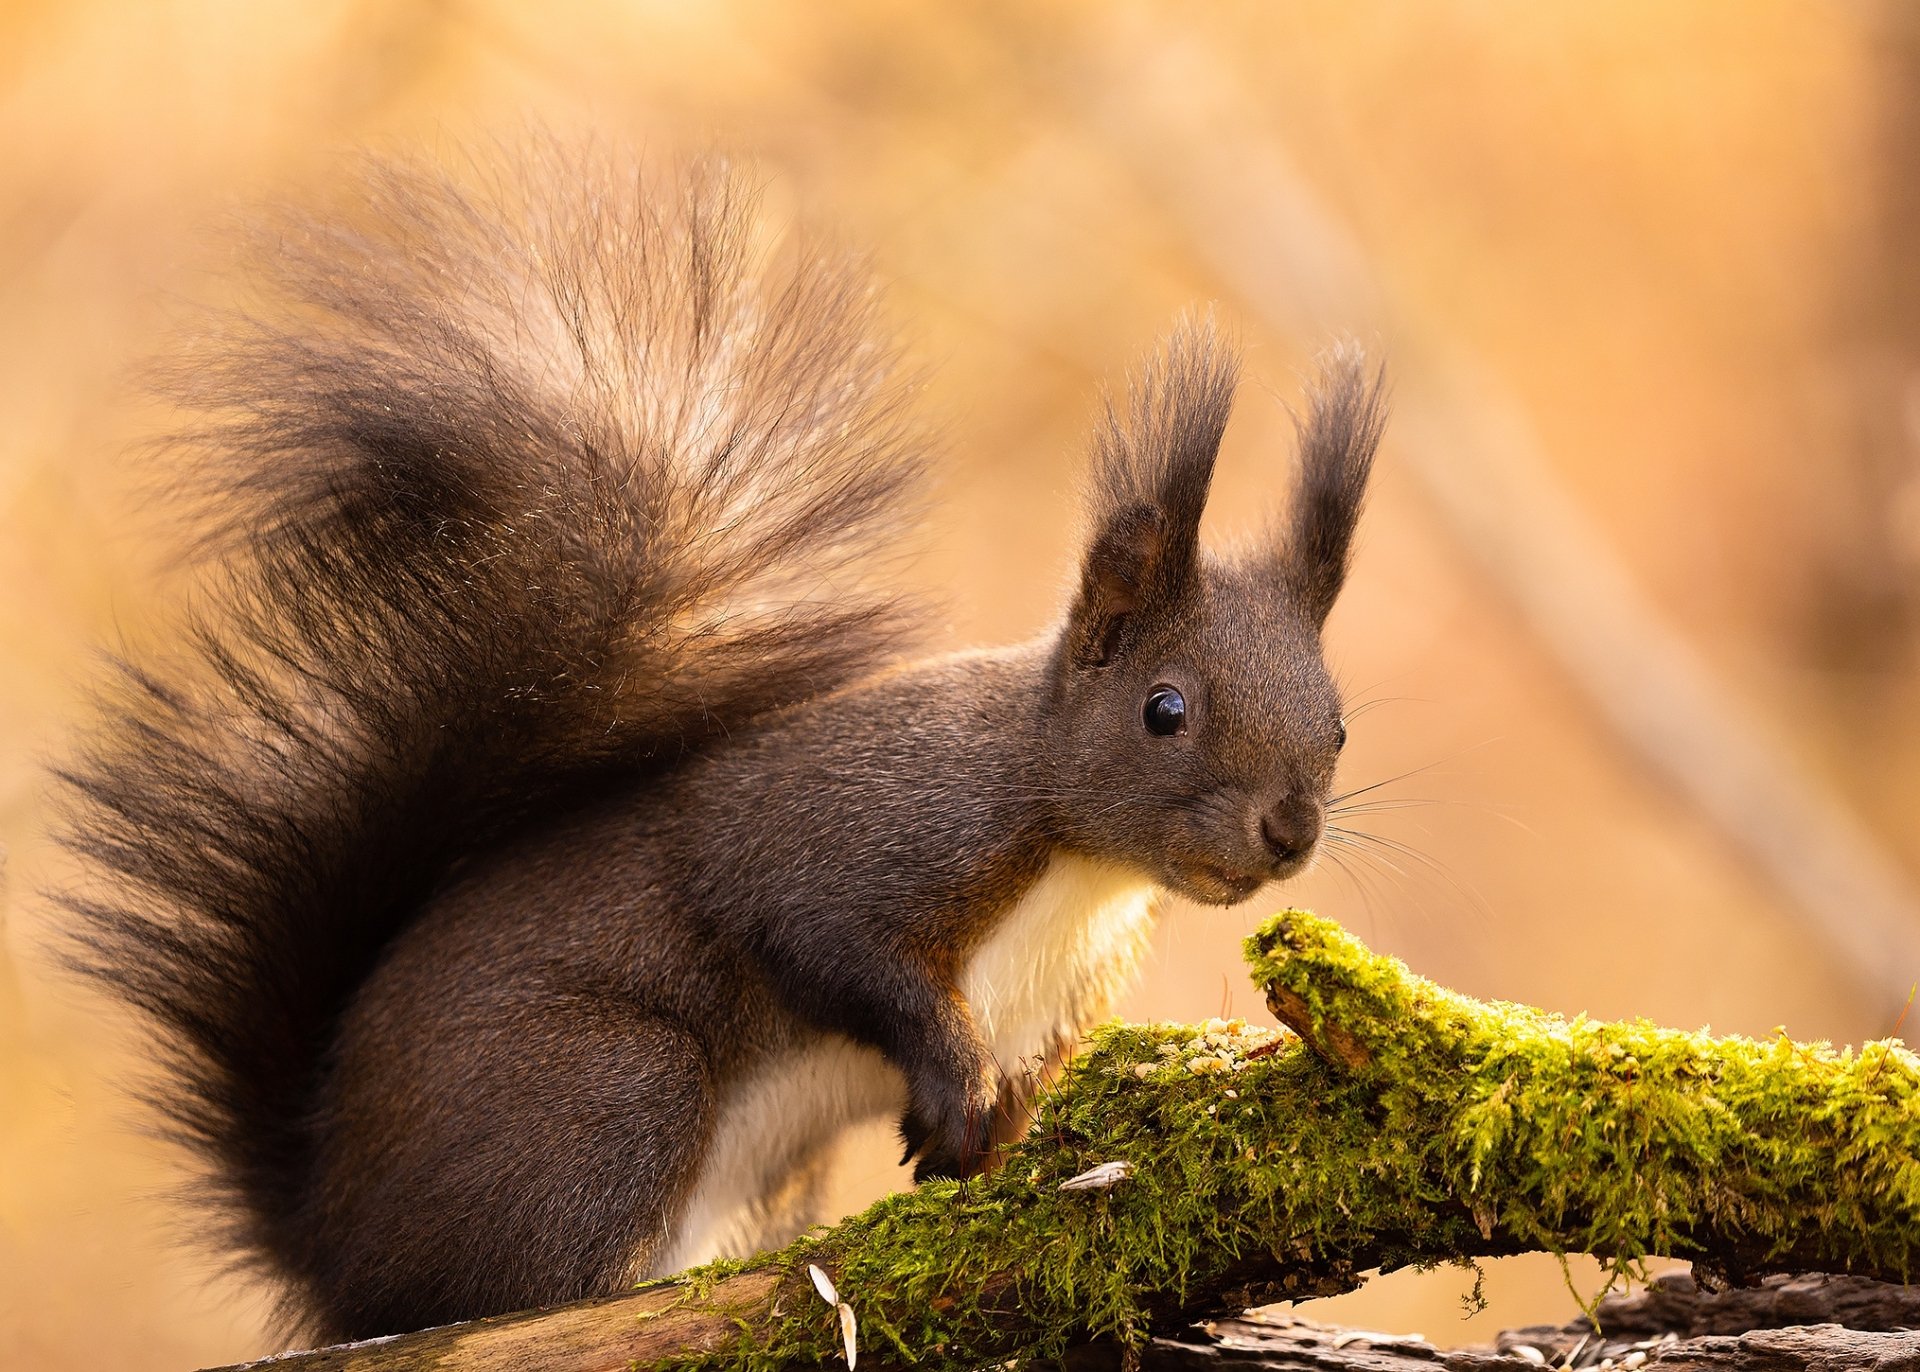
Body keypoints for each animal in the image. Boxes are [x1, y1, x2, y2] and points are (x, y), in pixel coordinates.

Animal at [53, 148, 1386, 1342]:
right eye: (1165, 709)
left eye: (1338, 721)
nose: (1288, 831)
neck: (1075, 866)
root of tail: (329, 1236)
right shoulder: (860, 838)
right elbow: (836, 948)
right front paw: (952, 1090)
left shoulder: (1063, 1000)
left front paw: (984, 1135)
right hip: (607, 1095)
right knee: (492, 1297)